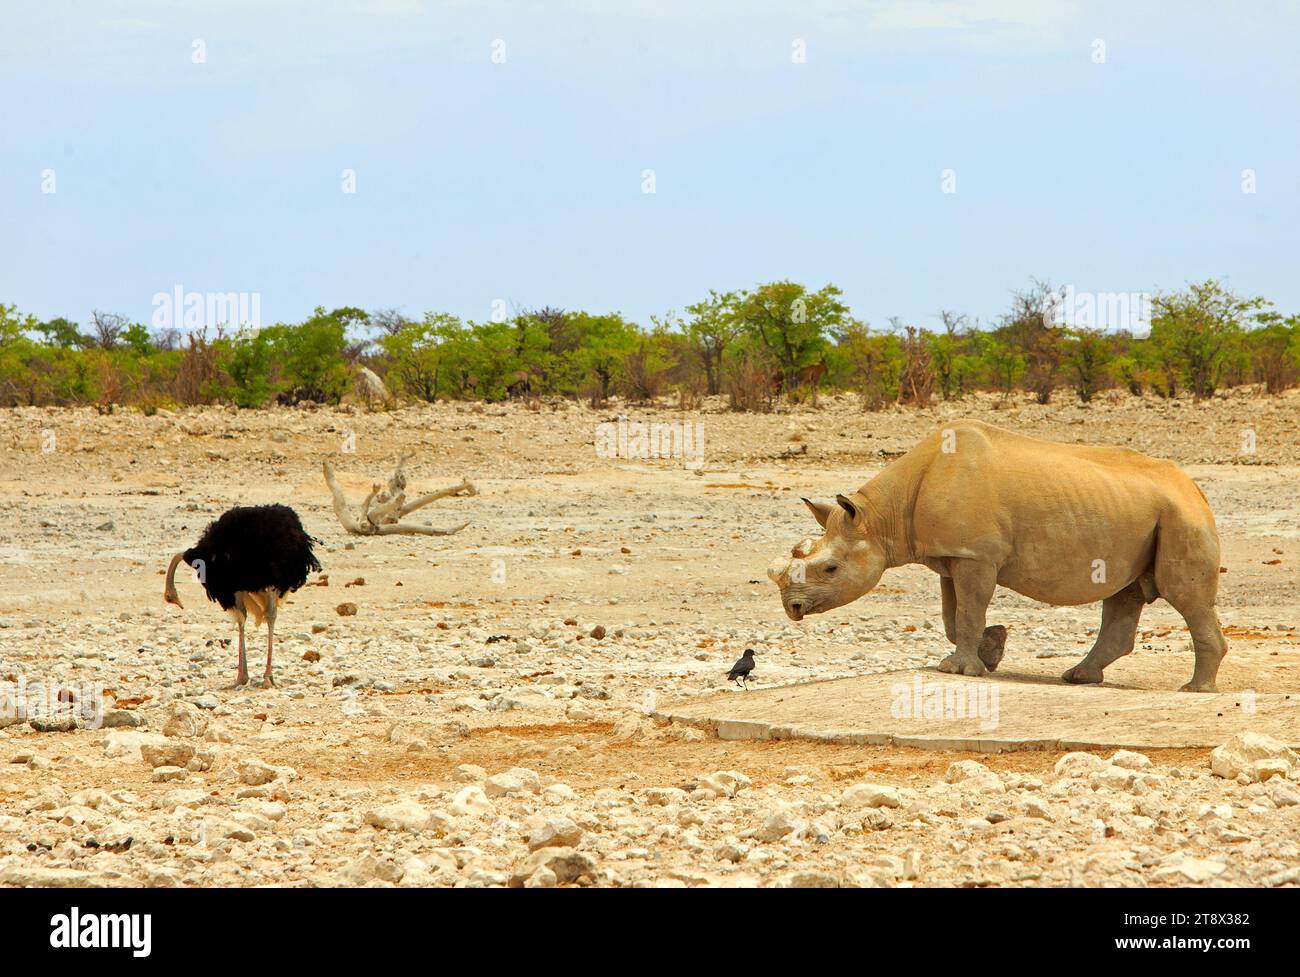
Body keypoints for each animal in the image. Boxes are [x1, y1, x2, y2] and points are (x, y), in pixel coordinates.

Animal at [767, 419, 1228, 691]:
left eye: (830, 568)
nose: (792, 608)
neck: (882, 516)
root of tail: (1196, 487)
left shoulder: (974, 556)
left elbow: (969, 609)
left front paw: (963, 670)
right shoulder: (952, 556)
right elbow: (953, 615)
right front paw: (990, 651)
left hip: (1181, 516)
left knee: (1183, 595)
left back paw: (1194, 690)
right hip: (1142, 513)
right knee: (1124, 593)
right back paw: (1079, 678)